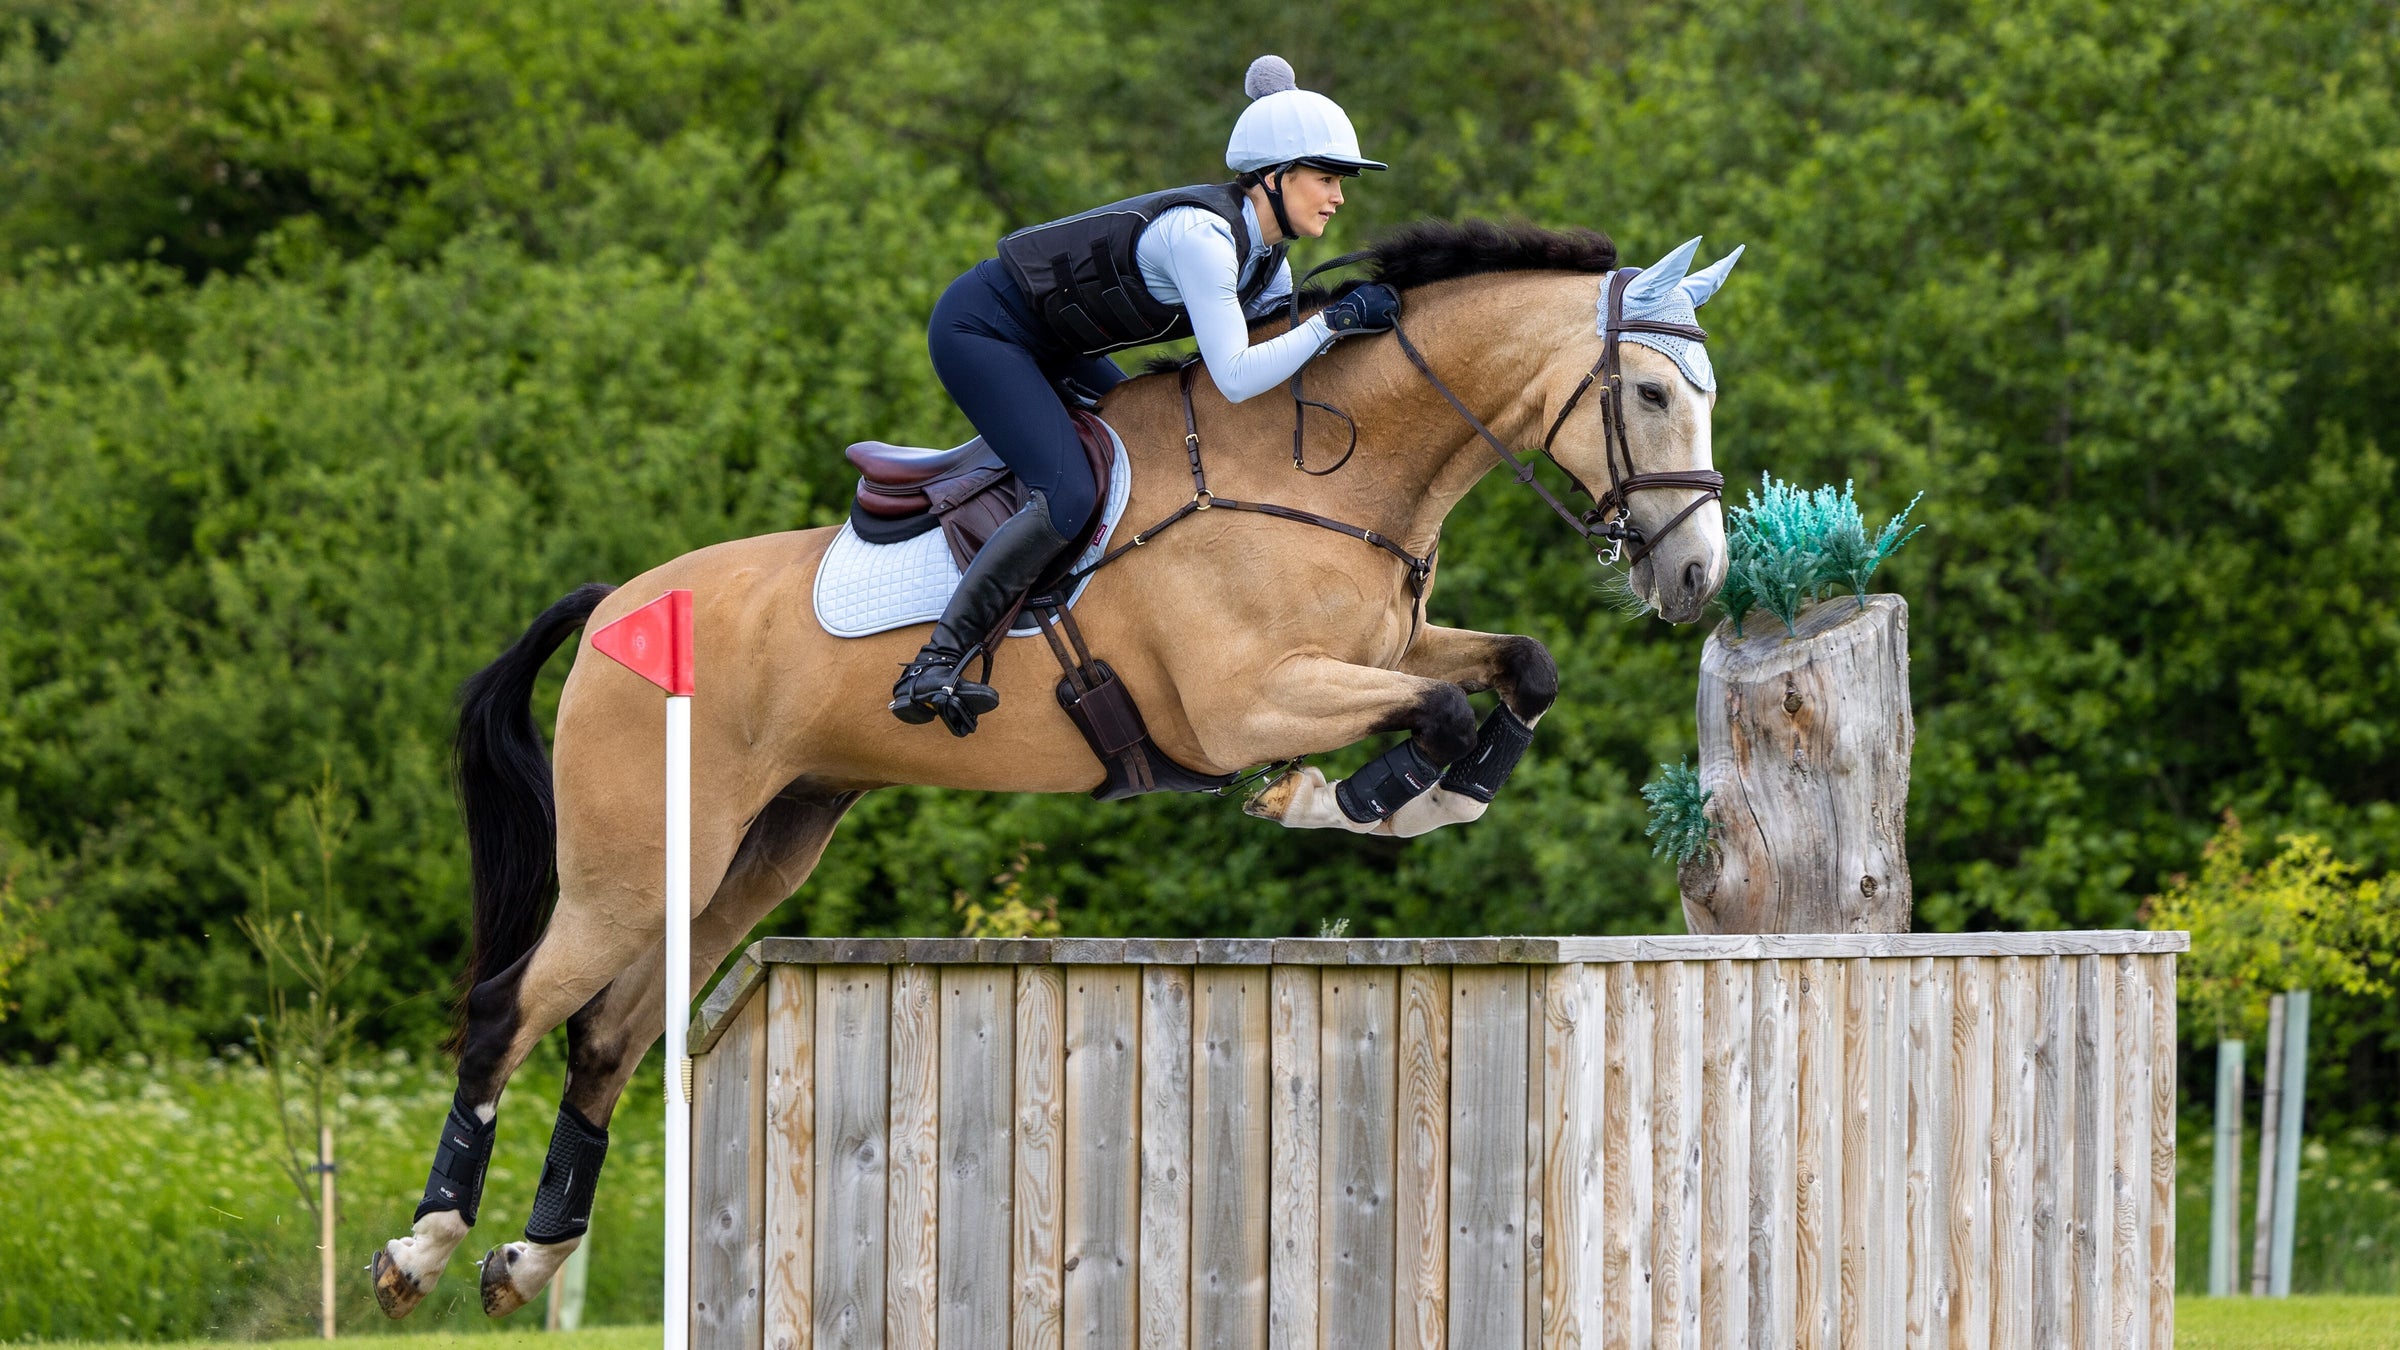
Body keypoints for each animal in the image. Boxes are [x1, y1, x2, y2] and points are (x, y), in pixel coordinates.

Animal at [370, 222, 1741, 1318]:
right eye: (1650, 392)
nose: (1696, 578)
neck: (1324, 467)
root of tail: (619, 605)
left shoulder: (1377, 653)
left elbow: (1518, 669)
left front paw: (1418, 795)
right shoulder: (1244, 702)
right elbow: (1446, 708)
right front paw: (1343, 798)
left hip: (753, 858)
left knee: (608, 1037)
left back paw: (526, 1264)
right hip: (639, 864)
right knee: (508, 1011)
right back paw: (422, 1250)